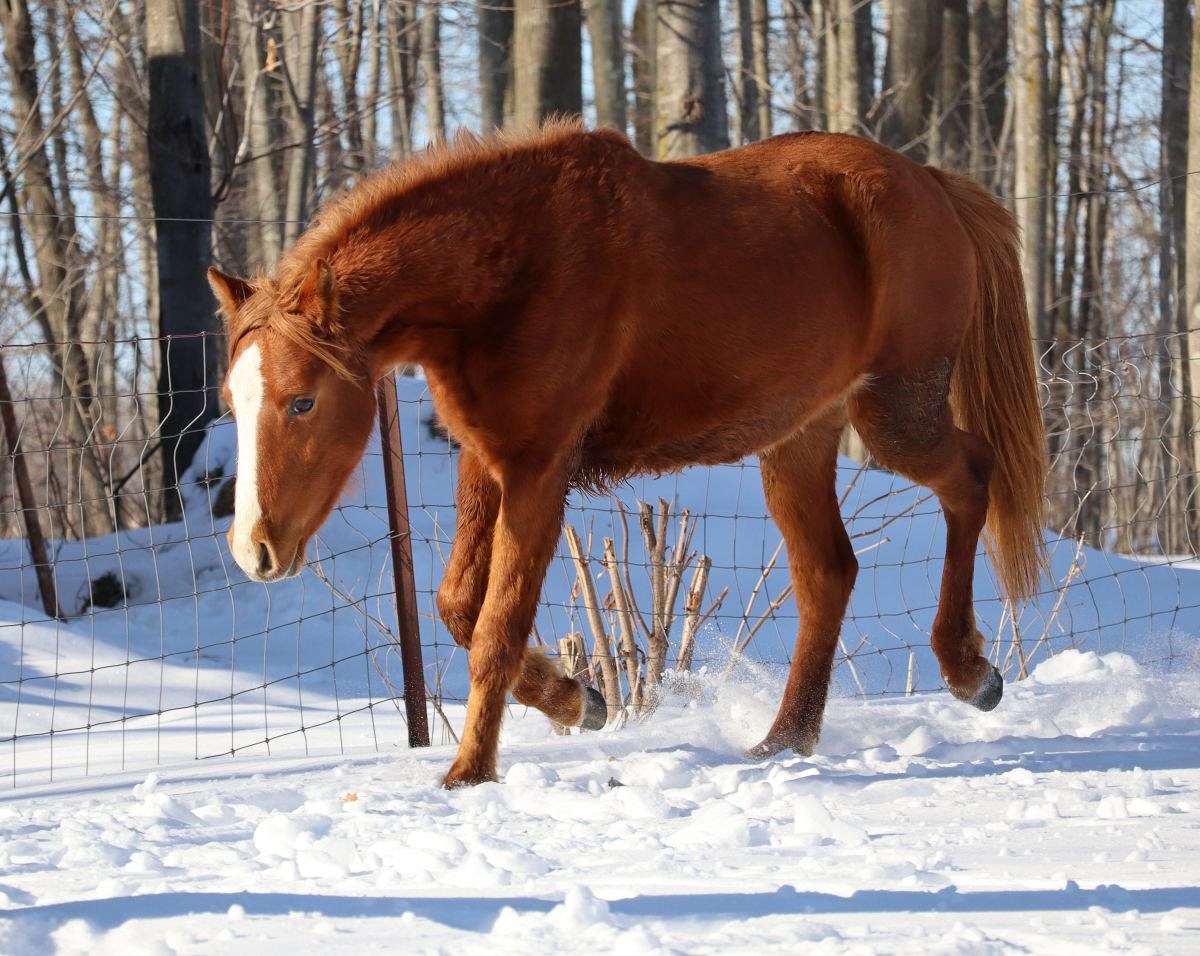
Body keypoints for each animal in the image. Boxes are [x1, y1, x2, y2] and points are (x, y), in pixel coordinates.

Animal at [208, 122, 1046, 789]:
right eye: (233, 402)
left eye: (302, 401)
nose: (254, 549)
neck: (516, 266)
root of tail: (932, 183)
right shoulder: (488, 459)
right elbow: (457, 606)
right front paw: (578, 699)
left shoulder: (540, 469)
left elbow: (495, 627)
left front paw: (468, 774)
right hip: (799, 440)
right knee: (829, 574)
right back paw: (783, 741)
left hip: (895, 414)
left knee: (971, 479)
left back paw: (968, 670)